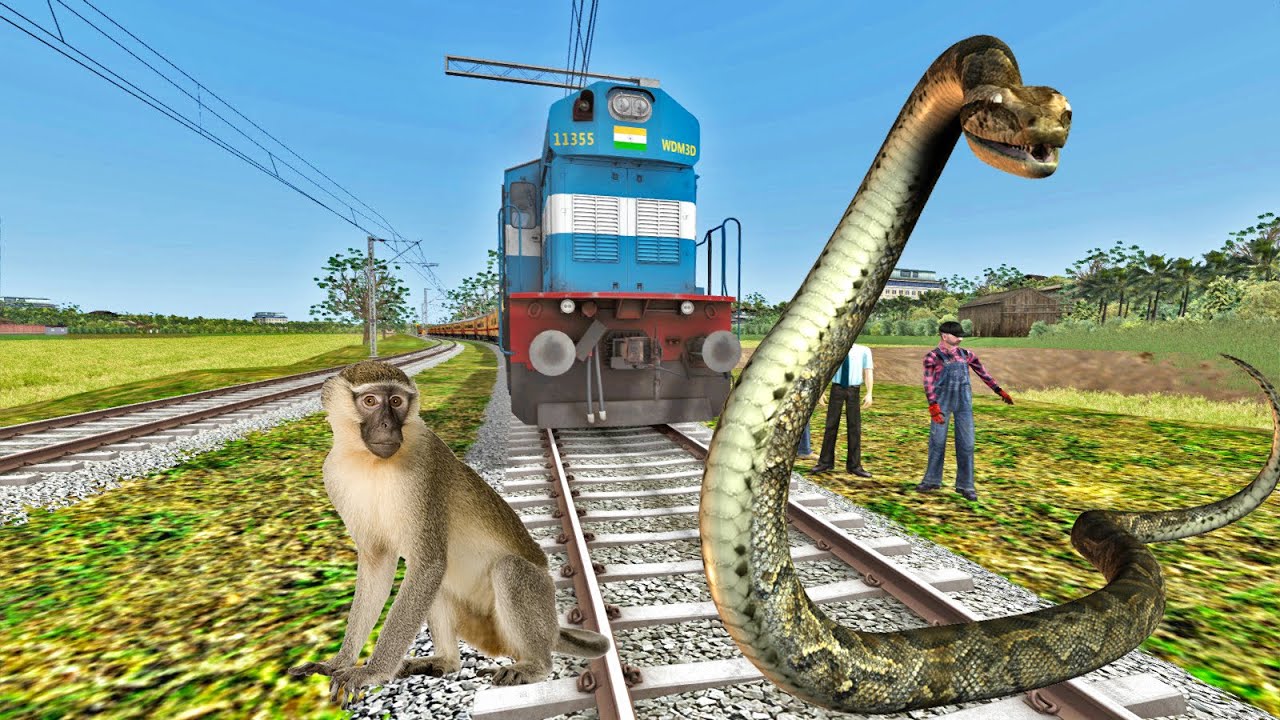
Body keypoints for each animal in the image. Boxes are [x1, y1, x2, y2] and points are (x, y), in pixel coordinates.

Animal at [287, 360, 610, 706]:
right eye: (370, 401)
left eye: (397, 402)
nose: (387, 425)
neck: (370, 462)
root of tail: (551, 627)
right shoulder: (334, 474)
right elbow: (379, 566)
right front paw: (340, 662)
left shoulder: (424, 468)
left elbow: (427, 563)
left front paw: (370, 672)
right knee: (439, 584)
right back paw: (445, 660)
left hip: (535, 604)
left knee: (507, 570)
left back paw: (535, 665)